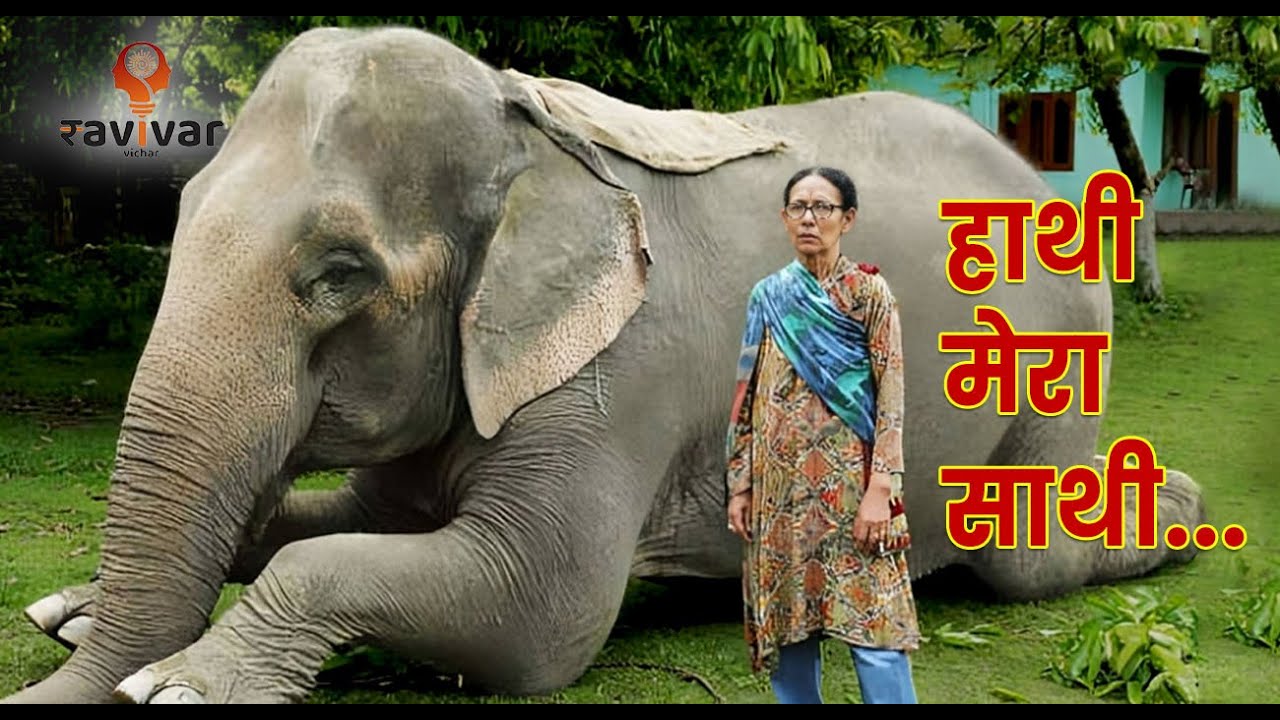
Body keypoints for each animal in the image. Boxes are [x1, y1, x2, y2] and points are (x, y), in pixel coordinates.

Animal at [4, 25, 1206, 704]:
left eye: (338, 274)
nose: (40, 695)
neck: (530, 132)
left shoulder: (616, 382)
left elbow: (541, 613)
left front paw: (175, 687)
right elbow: (337, 522)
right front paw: (70, 611)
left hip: (1062, 368)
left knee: (1025, 566)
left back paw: (1180, 508)